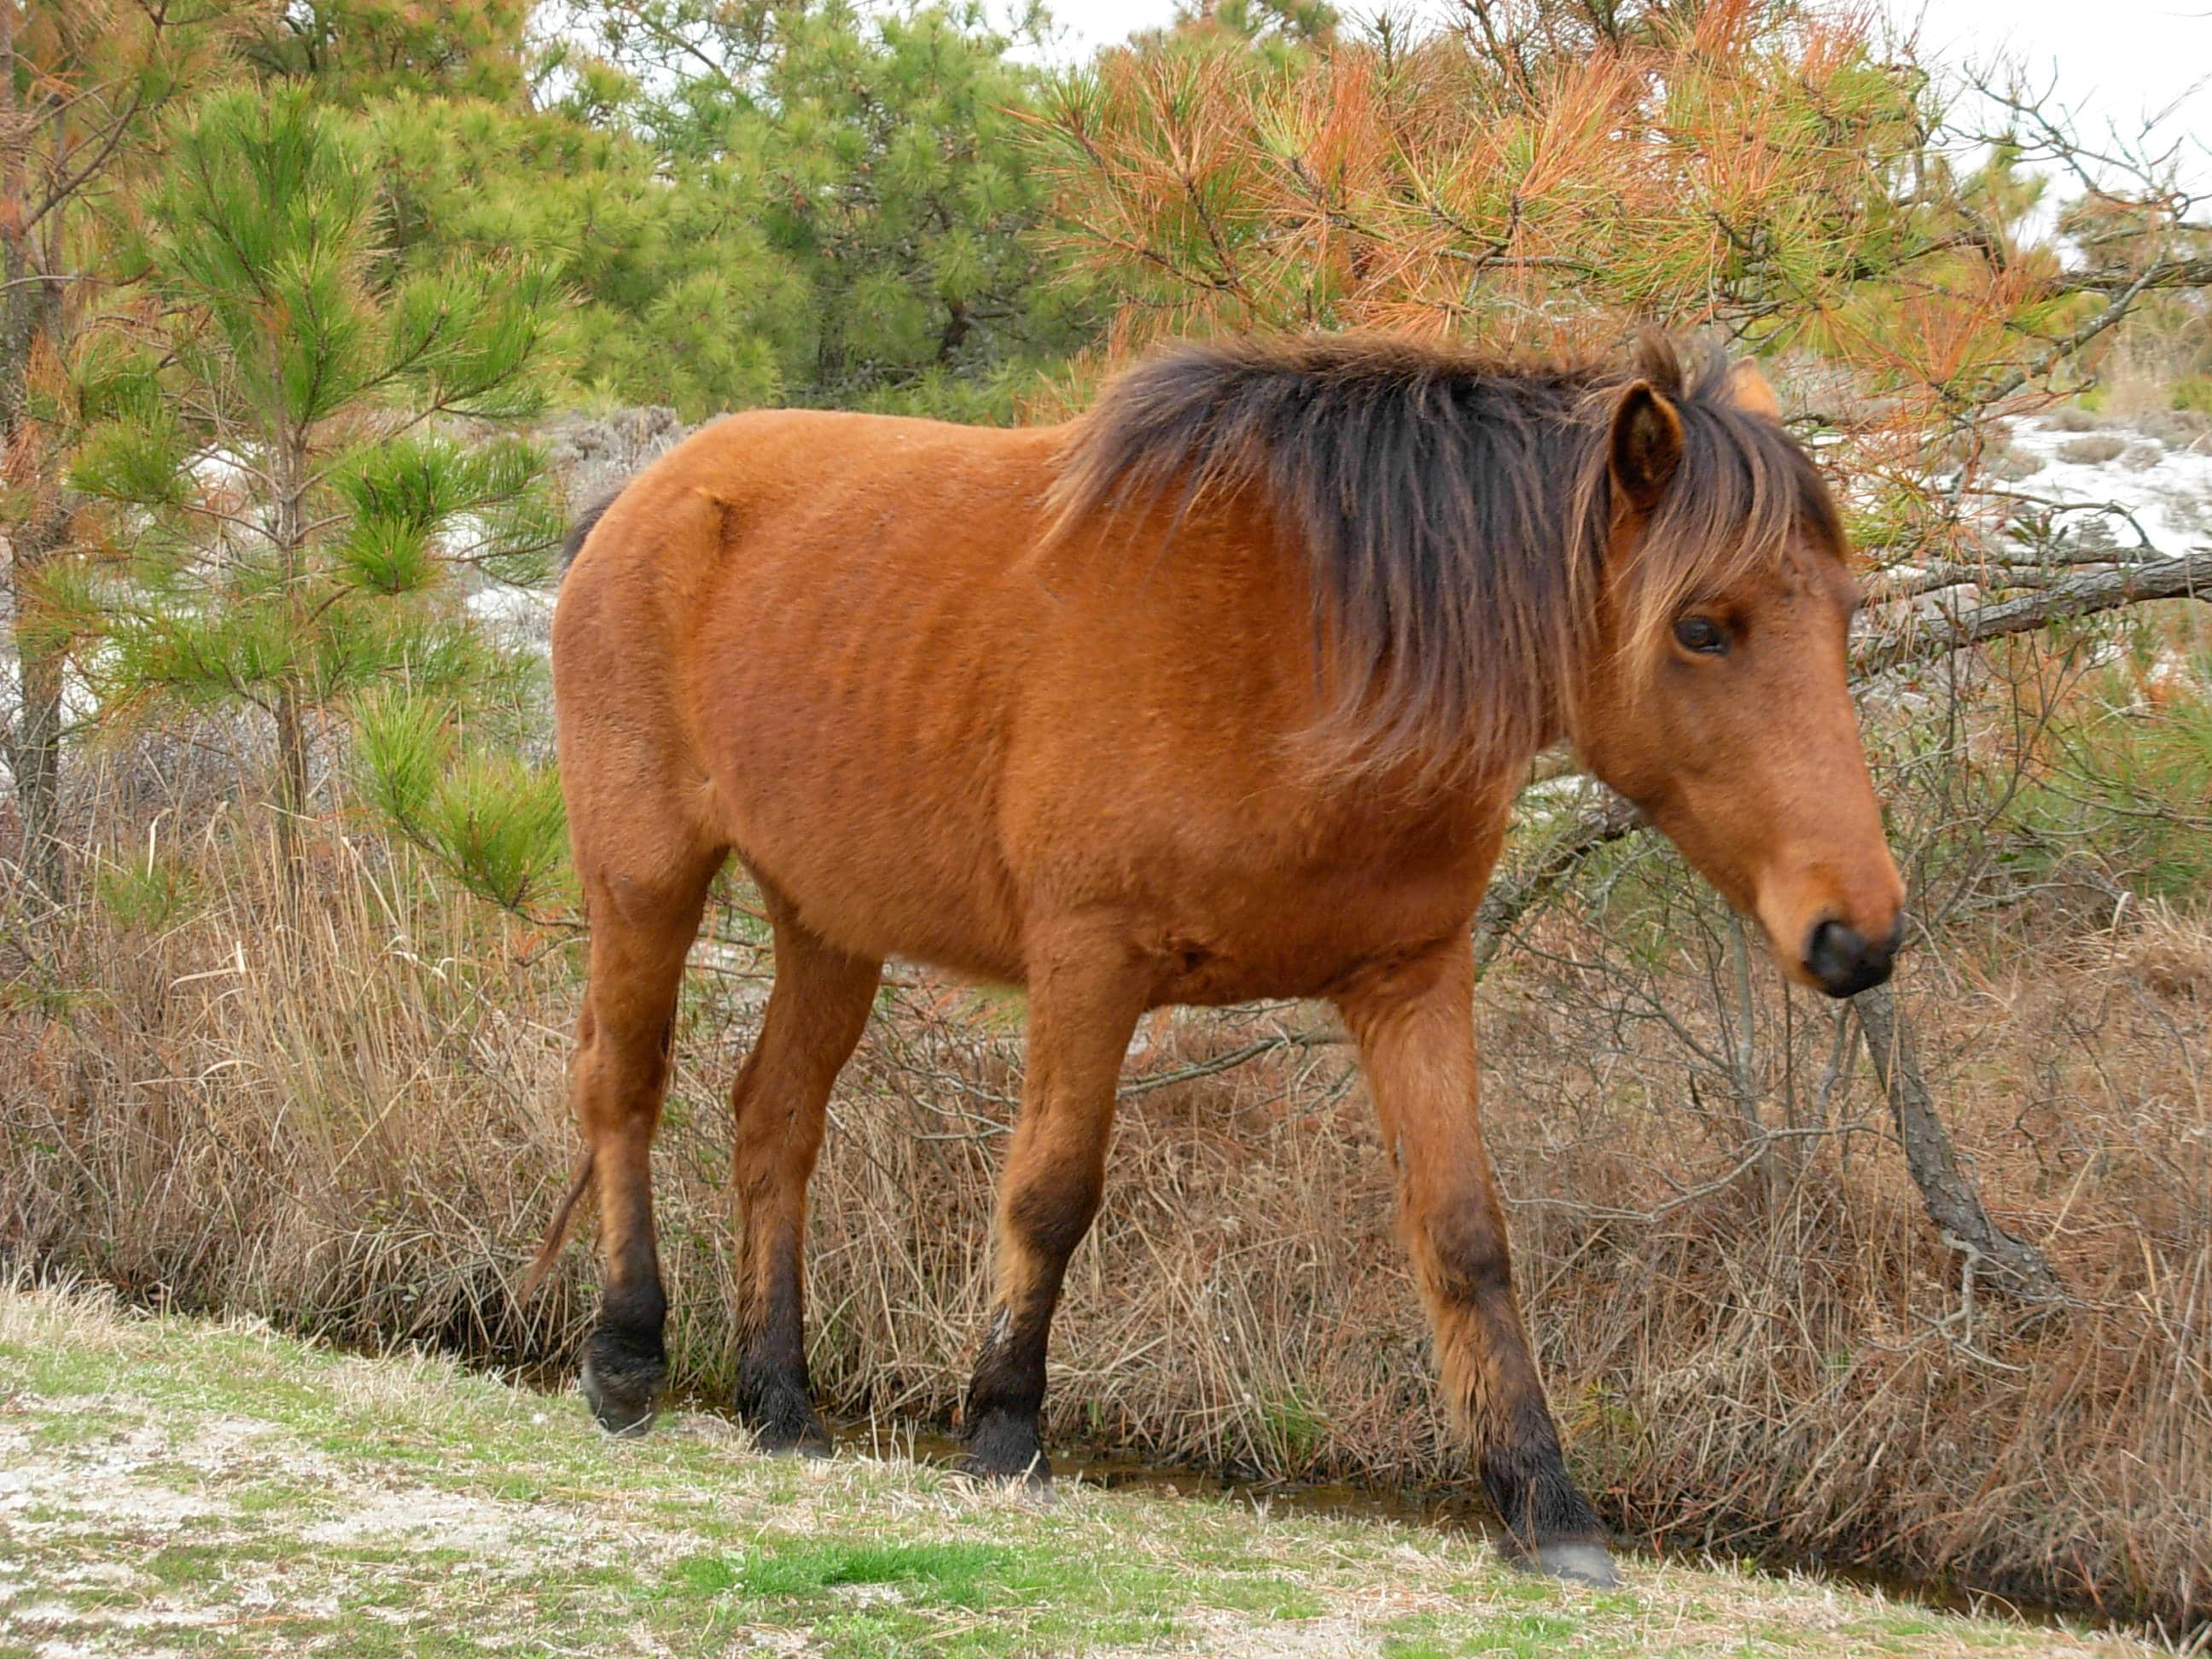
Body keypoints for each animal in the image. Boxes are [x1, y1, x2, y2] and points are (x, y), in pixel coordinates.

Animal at [535, 333, 1905, 1586]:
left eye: (1843, 616)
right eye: (1702, 627)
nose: (1861, 933)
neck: (1311, 644)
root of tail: (643, 499)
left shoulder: (1412, 979)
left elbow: (1464, 1234)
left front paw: (1543, 1504)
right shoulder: (1090, 965)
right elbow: (1049, 1194)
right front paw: (1004, 1433)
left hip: (828, 925)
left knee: (773, 1120)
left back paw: (780, 1403)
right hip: (645, 881)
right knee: (623, 1086)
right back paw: (626, 1357)